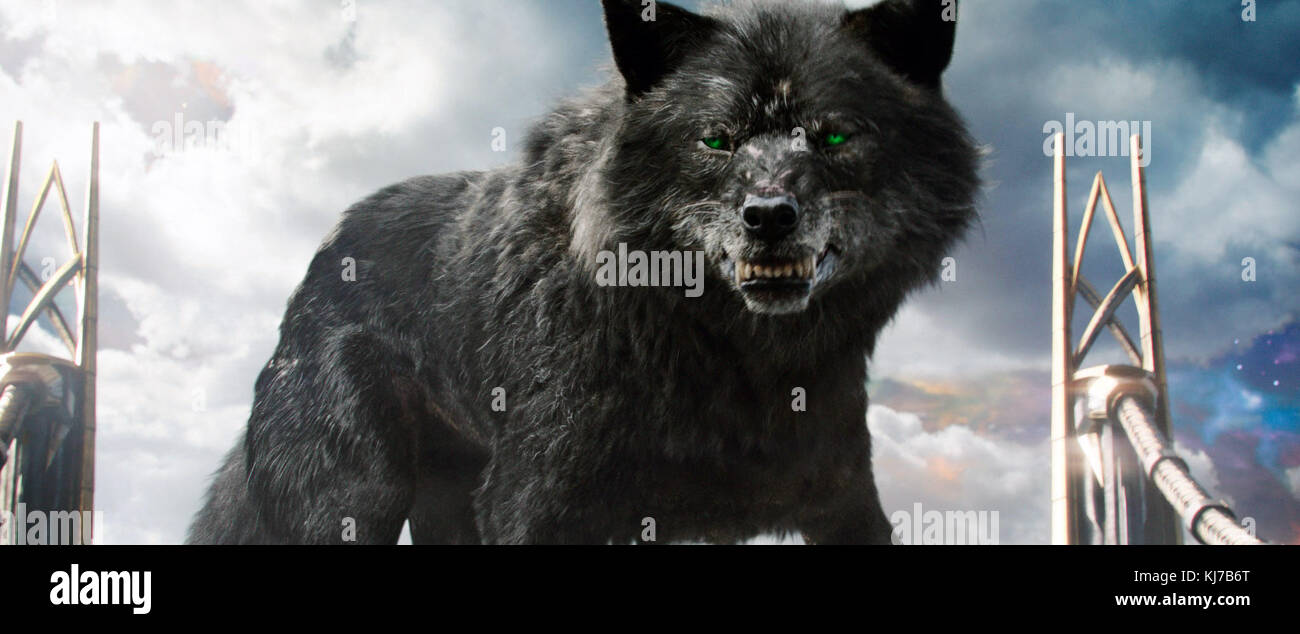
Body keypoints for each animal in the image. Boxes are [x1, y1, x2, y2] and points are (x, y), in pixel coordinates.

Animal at [188, 0, 979, 544]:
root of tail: (324, 254)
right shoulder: (538, 508)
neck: (728, 358)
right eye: (717, 140)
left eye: (835, 135)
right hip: (353, 503)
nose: (768, 215)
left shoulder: (844, 505)